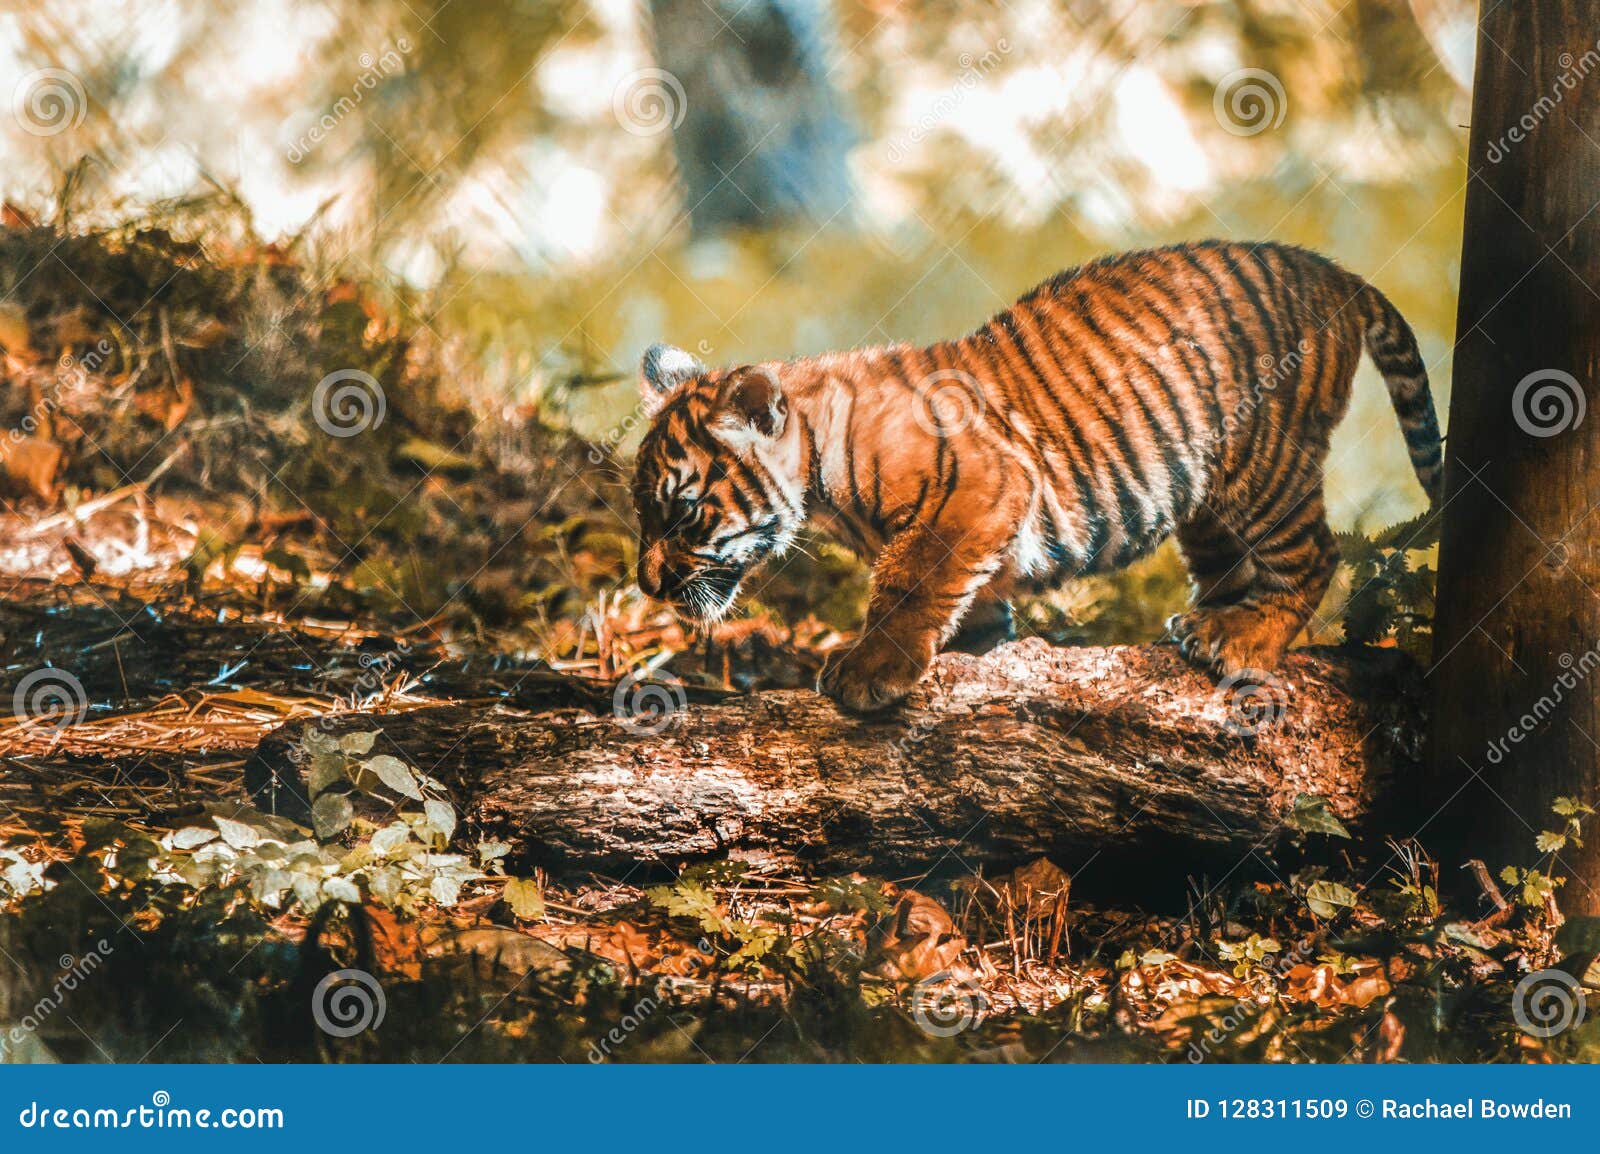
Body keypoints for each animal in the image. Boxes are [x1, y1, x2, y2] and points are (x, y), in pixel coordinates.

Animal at [629, 240, 1442, 713]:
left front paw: (871, 669)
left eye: (684, 513)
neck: (822, 478)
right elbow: (968, 595)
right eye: (643, 516)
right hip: (1207, 501)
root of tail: (1333, 270)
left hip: (1261, 462)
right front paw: (974, 648)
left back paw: (1239, 640)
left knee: (1314, 555)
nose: (646, 583)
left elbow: (910, 579)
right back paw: (1203, 623)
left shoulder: (981, 485)